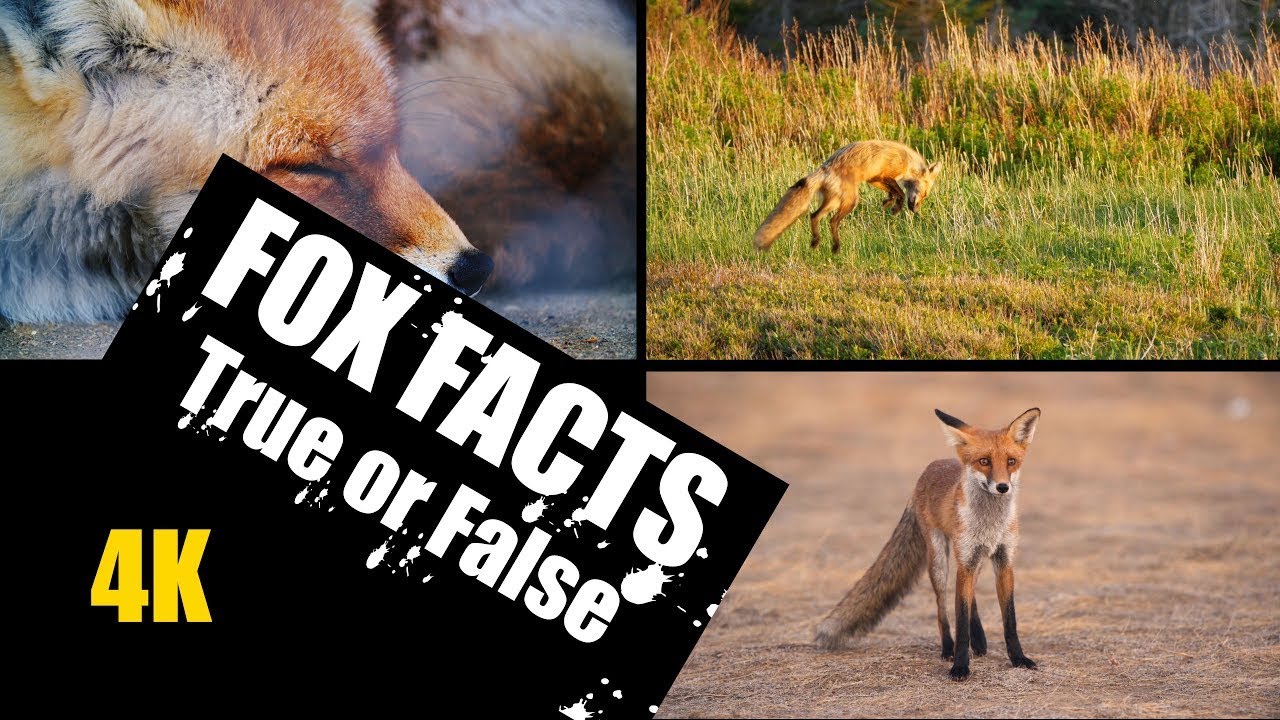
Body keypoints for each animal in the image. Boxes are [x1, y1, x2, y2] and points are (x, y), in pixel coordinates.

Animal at [752, 139, 941, 253]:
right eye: (925, 194)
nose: (915, 210)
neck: (907, 163)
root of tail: (824, 169)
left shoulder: (875, 178)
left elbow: (893, 191)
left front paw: (888, 202)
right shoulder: (885, 175)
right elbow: (899, 192)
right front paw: (895, 207)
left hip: (834, 202)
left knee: (814, 216)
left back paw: (816, 242)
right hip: (851, 202)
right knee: (832, 221)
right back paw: (835, 247)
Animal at [814, 407, 1042, 682]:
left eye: (1011, 461)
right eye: (984, 461)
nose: (1002, 487)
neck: (989, 524)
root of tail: (930, 467)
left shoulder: (1003, 560)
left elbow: (1009, 619)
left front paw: (1018, 659)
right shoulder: (966, 560)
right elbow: (960, 619)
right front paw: (960, 666)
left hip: (973, 560)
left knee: (970, 596)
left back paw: (978, 641)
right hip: (940, 560)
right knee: (942, 607)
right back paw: (948, 649)